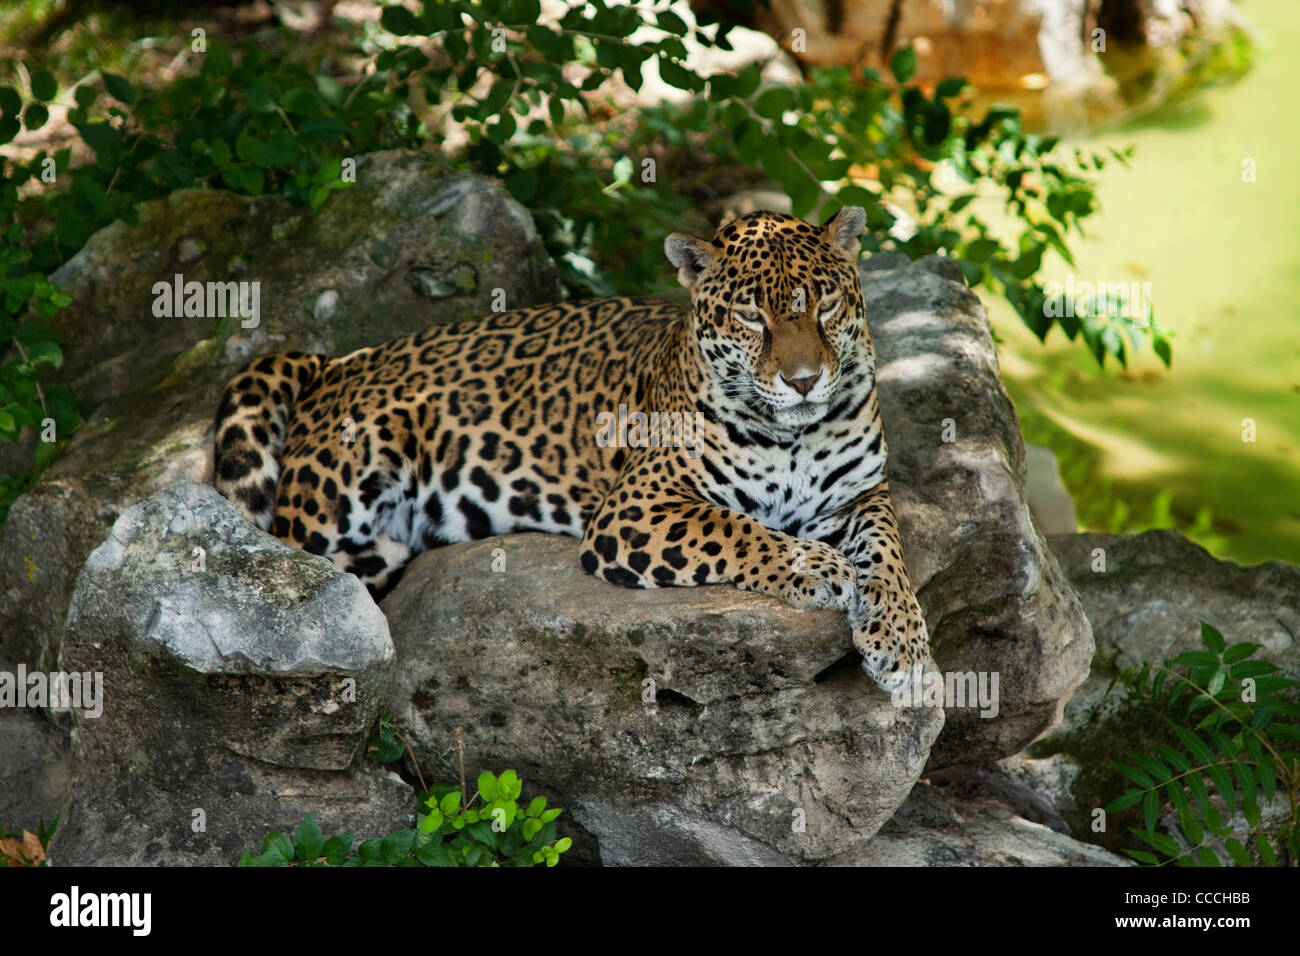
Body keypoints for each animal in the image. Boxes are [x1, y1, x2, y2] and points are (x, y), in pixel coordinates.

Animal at [211, 206, 930, 690]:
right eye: (752, 316)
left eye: (826, 305)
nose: (804, 380)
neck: (792, 433)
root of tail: (337, 359)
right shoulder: (638, 508)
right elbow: (736, 527)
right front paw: (818, 568)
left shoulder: (861, 494)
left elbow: (888, 550)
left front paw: (904, 644)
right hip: (347, 481)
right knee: (301, 568)